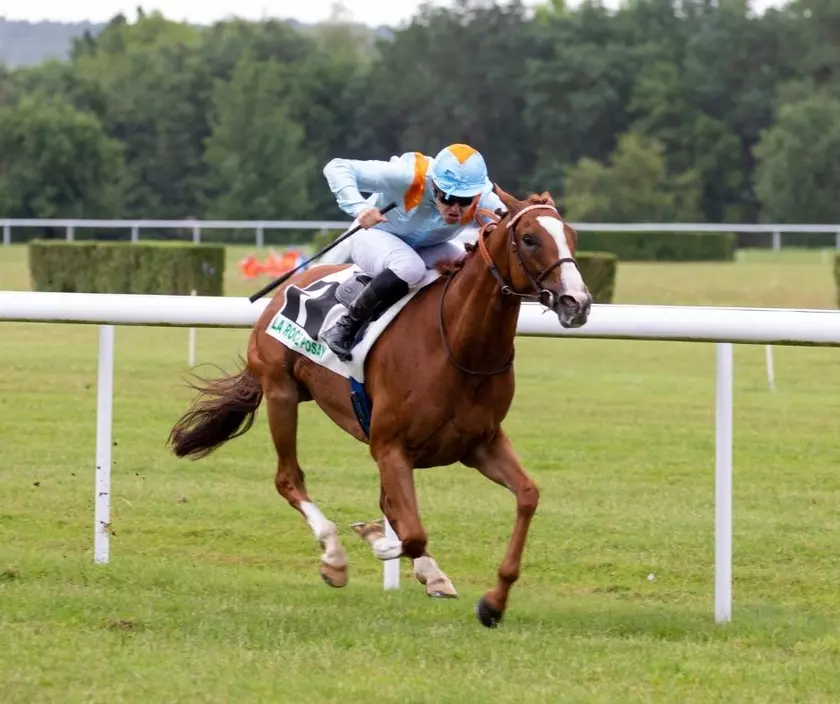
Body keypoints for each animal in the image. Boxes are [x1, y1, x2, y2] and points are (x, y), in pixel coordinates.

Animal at [167, 184, 593, 628]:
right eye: (529, 238)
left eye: (572, 236)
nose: (577, 302)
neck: (458, 347)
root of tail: (292, 283)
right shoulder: (390, 447)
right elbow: (412, 531)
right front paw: (375, 543)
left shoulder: (481, 444)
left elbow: (527, 496)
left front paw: (493, 602)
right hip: (281, 392)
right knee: (288, 479)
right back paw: (335, 556)